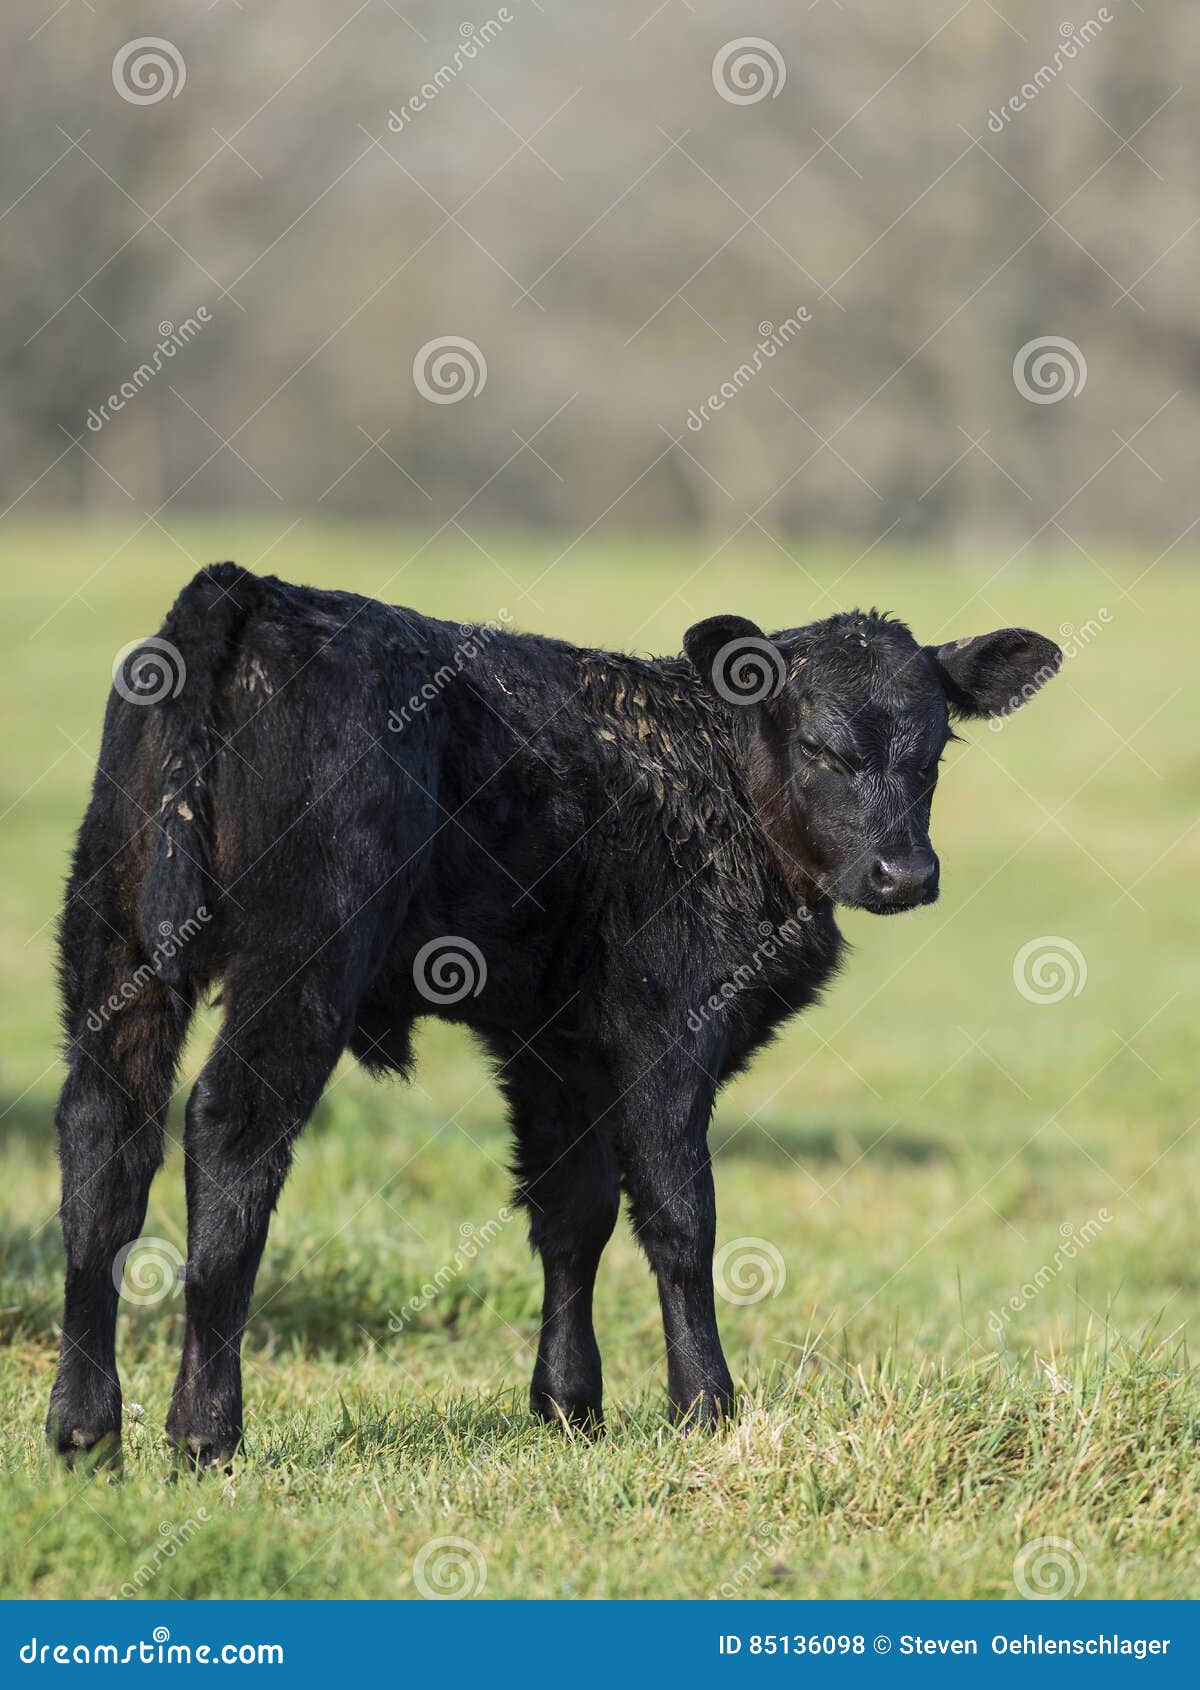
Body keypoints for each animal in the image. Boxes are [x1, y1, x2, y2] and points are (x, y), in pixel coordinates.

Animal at [46, 562, 1061, 1465]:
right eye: (819, 746)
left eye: (935, 752)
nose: (905, 874)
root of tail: (253, 589)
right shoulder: (667, 1027)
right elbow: (681, 1217)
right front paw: (706, 1407)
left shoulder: (554, 1046)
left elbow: (573, 1212)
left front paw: (569, 1406)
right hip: (302, 957)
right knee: (229, 1132)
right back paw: (205, 1431)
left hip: (113, 940)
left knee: (104, 1139)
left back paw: (85, 1431)